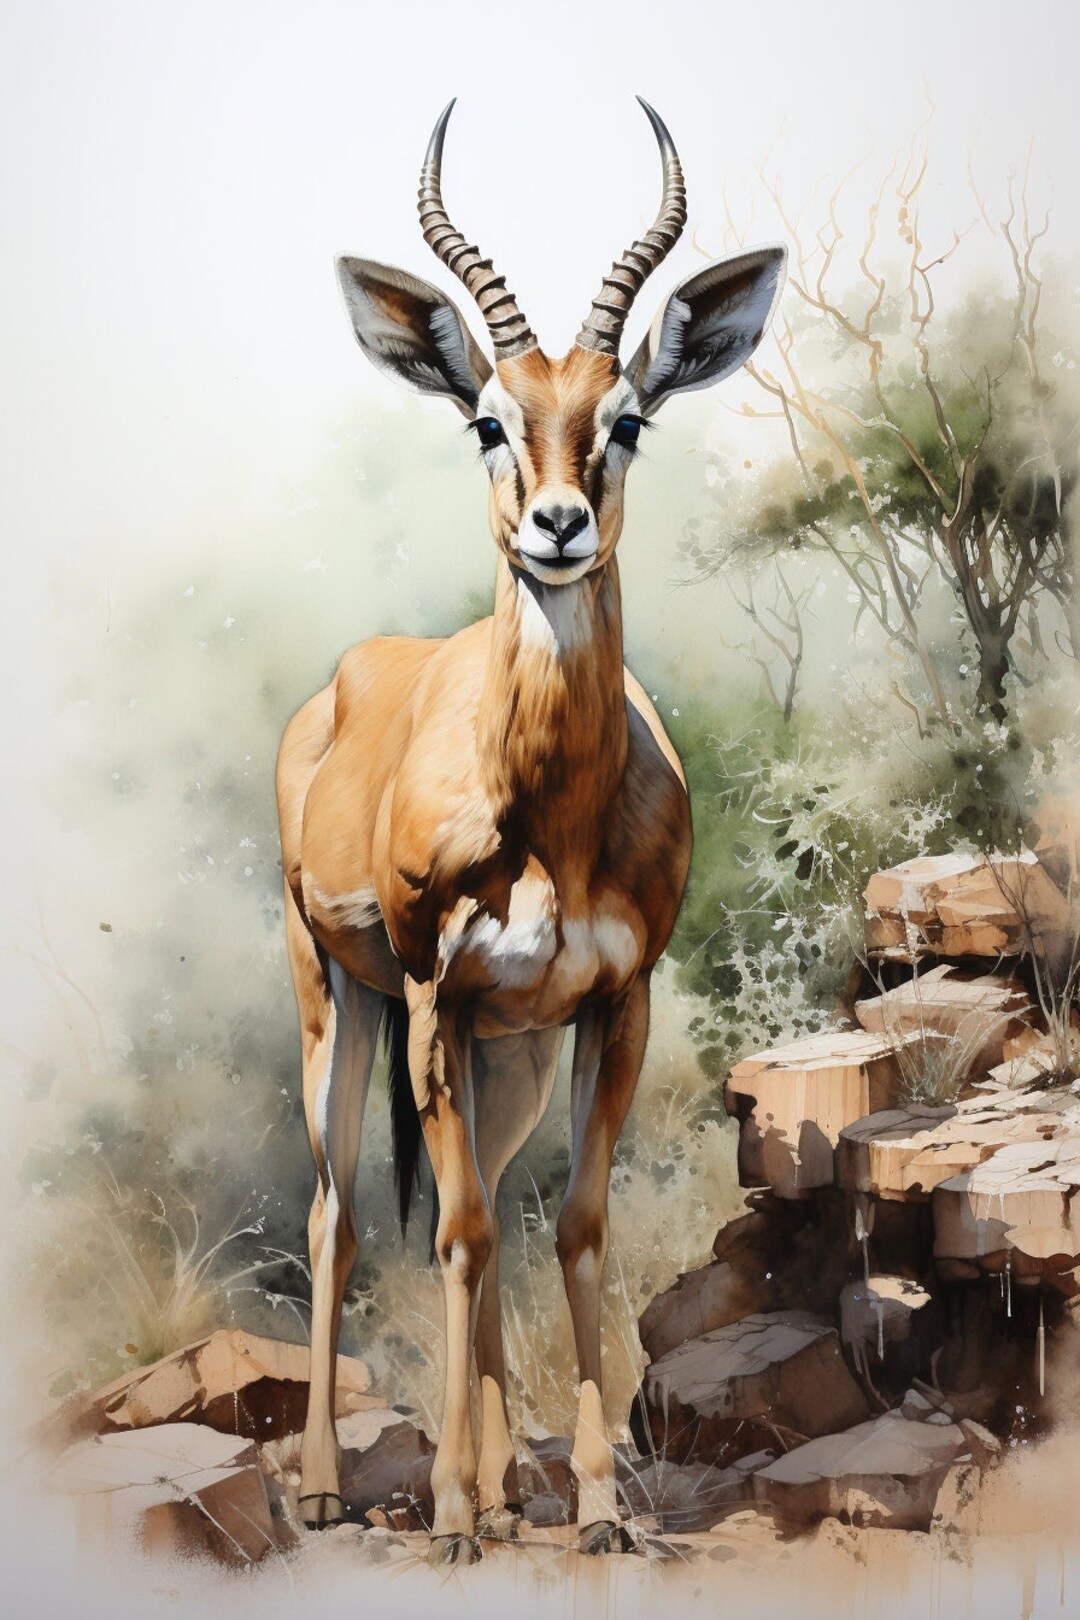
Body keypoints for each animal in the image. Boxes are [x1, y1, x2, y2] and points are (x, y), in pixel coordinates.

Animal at [276, 97, 785, 1563]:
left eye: (627, 420)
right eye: (487, 422)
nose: (558, 529)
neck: (551, 817)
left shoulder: (616, 1002)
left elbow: (576, 1228)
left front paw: (596, 1505)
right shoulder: (434, 995)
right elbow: (445, 1237)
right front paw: (449, 1512)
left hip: (507, 1049)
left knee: (496, 1203)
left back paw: (509, 1489)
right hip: (338, 996)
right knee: (341, 1215)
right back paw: (335, 1486)